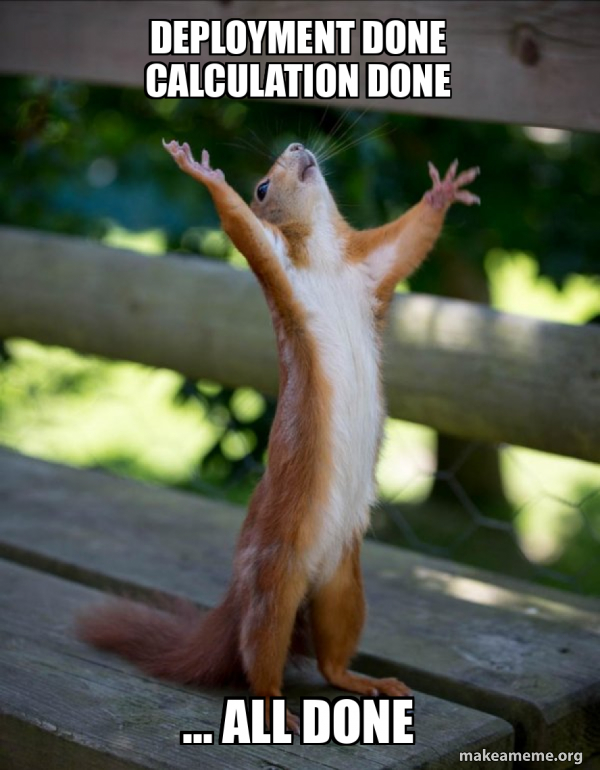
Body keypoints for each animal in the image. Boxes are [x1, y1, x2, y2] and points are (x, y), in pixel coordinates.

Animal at [77, 138, 479, 733]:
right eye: (262, 187)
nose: (296, 146)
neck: (327, 257)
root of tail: (239, 595)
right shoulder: (277, 265)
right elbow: (240, 226)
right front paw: (204, 174)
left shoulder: (372, 267)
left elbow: (409, 240)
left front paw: (443, 192)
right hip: (274, 582)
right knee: (258, 657)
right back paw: (275, 708)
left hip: (344, 586)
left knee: (332, 658)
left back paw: (364, 680)